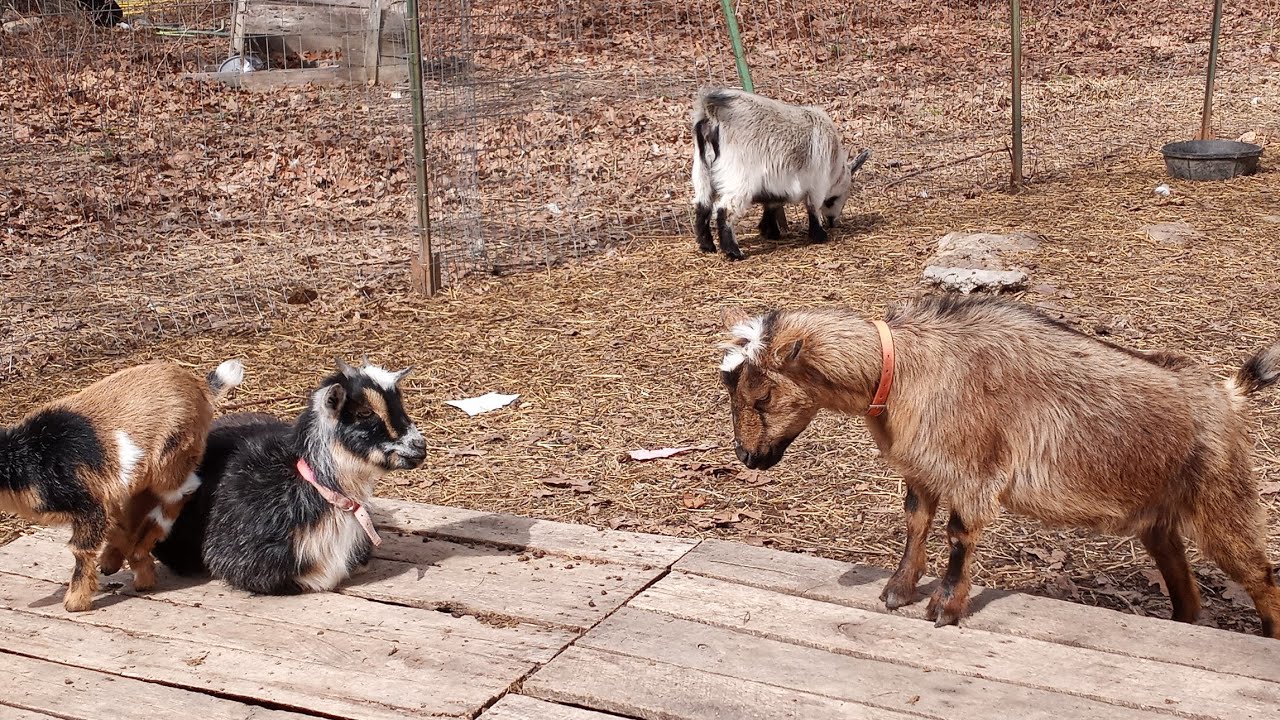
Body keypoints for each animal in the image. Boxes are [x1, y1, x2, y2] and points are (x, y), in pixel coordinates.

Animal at [0, 359, 244, 611]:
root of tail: (200, 386)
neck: (29, 461)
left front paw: (75, 602)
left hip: (171, 459)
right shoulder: (105, 496)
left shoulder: (88, 503)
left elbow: (81, 548)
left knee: (182, 491)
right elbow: (116, 526)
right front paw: (118, 565)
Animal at [691, 86, 871, 260]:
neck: (834, 163)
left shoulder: (775, 185)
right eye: (833, 200)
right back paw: (734, 252)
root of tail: (712, 114)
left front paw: (770, 232)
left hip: (702, 172)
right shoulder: (817, 184)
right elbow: (813, 207)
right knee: (724, 209)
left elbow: (772, 205)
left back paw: (707, 246)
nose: (833, 222)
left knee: (703, 206)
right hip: (739, 178)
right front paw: (819, 235)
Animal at [718, 294, 1280, 638]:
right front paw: (897, 591)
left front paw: (944, 608)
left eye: (763, 396)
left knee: (1260, 574)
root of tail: (1228, 393)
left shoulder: (974, 471)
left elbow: (959, 535)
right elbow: (916, 522)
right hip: (1158, 515)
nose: (747, 456)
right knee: (1187, 592)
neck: (905, 369)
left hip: (1222, 496)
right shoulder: (923, 469)